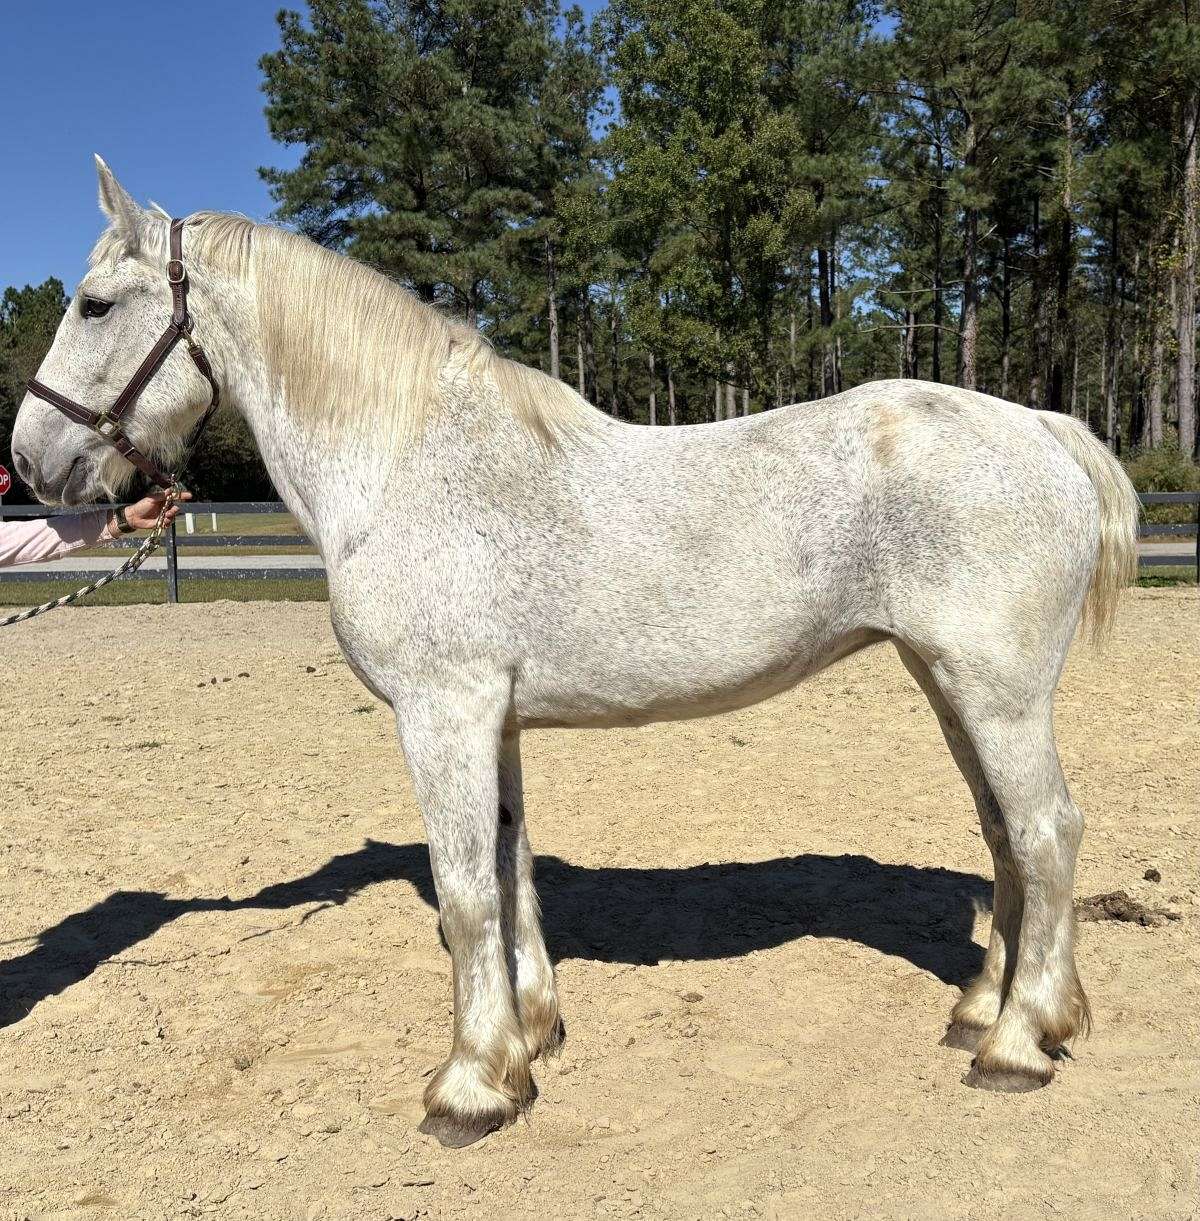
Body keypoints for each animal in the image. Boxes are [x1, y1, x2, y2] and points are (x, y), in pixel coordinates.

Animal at [11, 158, 1140, 1148]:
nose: (32, 462)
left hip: (997, 694)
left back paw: (1018, 1042)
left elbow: (465, 890)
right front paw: (529, 1038)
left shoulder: (443, 712)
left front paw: (469, 1085)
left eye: (96, 305)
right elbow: (511, 872)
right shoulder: (493, 718)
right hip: (948, 683)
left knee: (1048, 833)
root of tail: (1045, 428)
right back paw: (986, 1007)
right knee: (1003, 836)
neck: (406, 462)